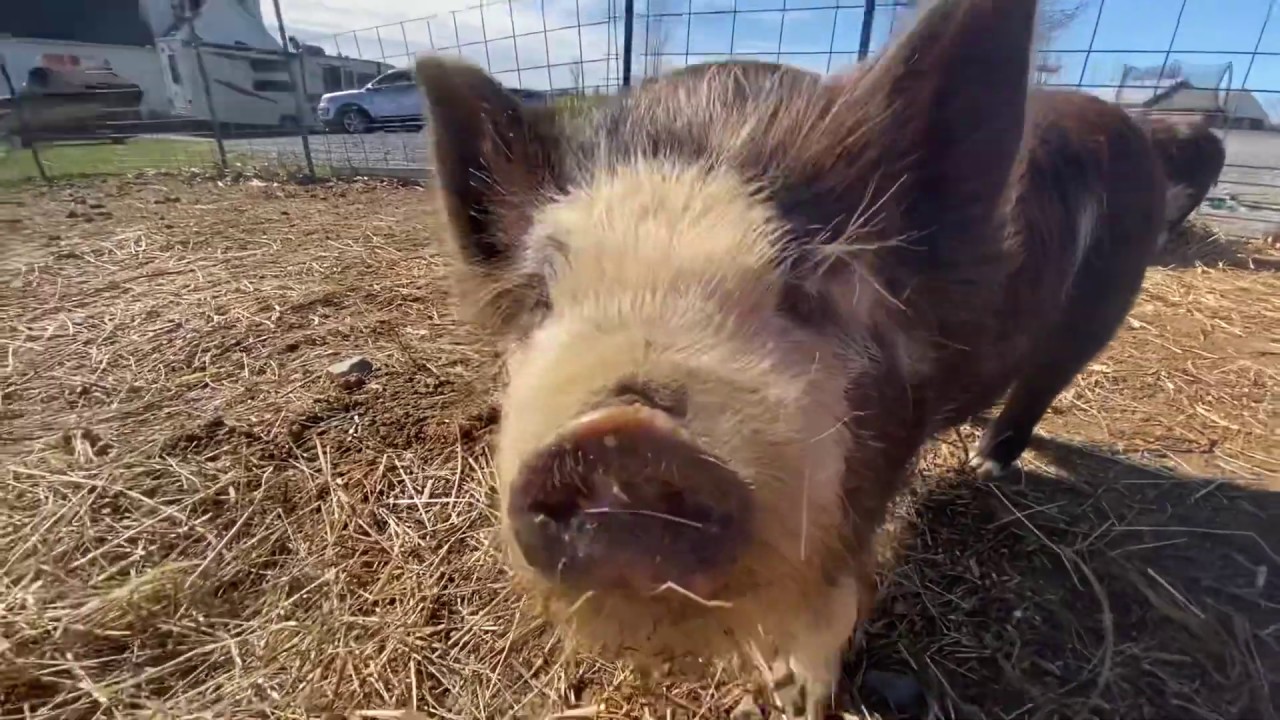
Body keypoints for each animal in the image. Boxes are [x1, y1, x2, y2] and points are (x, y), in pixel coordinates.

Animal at [413, 0, 1166, 716]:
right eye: (542, 297)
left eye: (803, 290)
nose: (622, 432)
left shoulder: (869, 466)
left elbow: (834, 595)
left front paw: (795, 700)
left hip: (1100, 310)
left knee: (1042, 385)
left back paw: (988, 466)